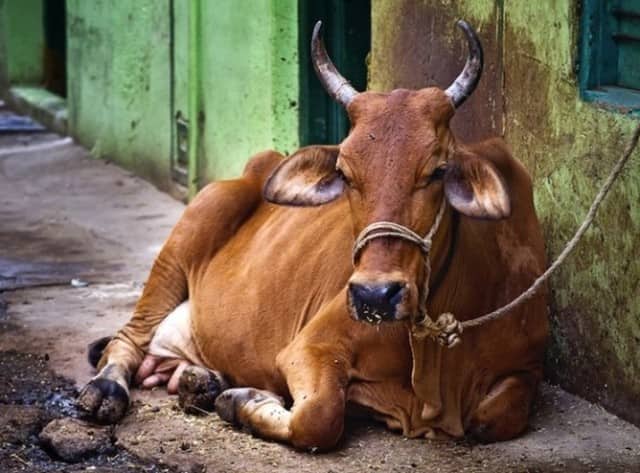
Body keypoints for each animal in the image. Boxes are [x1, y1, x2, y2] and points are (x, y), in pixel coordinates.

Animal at [78, 20, 548, 450]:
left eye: (437, 170)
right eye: (345, 172)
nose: (375, 296)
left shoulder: (525, 369)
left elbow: (492, 419)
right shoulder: (310, 346)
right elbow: (318, 417)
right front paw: (243, 402)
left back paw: (200, 380)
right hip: (194, 225)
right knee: (127, 337)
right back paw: (108, 390)